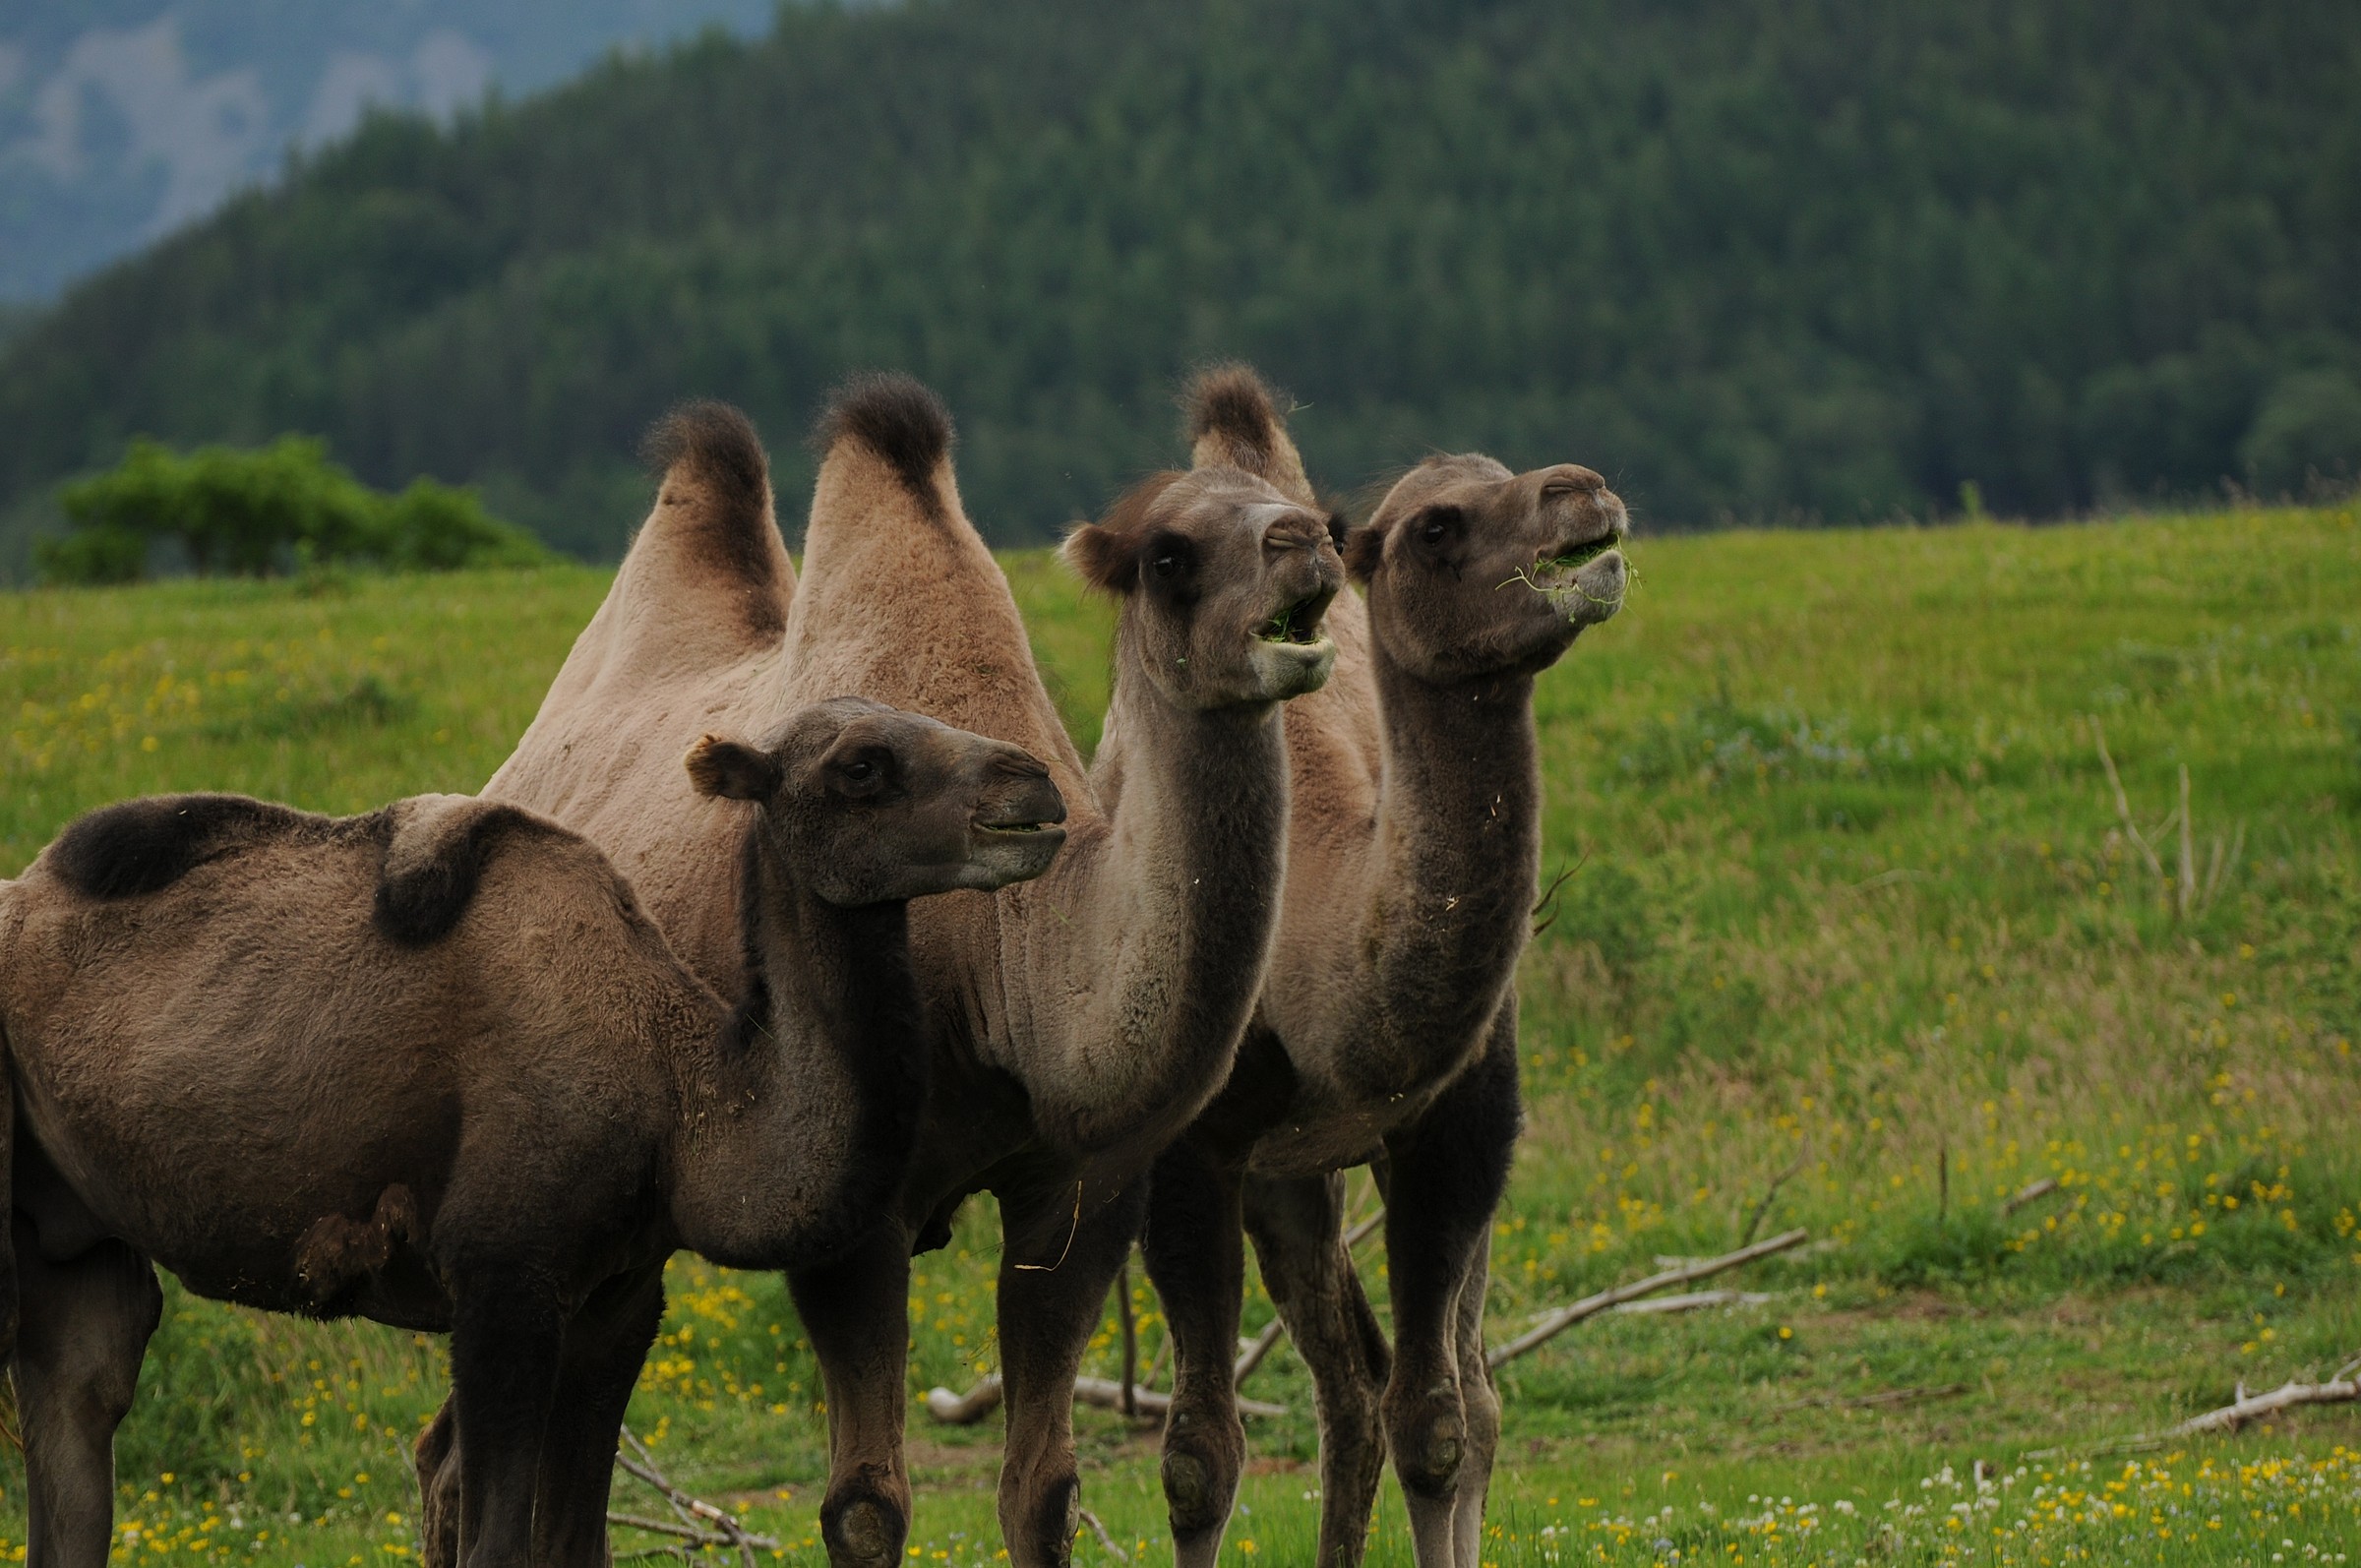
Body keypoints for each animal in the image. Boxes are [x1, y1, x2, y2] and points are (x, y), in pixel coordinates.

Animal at [0, 696, 1065, 1568]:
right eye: (862, 765)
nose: (1038, 787)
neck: (677, 1094)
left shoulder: (617, 1302)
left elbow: (575, 1543)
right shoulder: (503, 1279)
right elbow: (500, 1543)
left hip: (77, 1250)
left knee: (80, 1418)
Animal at [415, 378, 1344, 1568]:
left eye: (1293, 506)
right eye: (1170, 553)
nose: (1308, 542)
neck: (1007, 969)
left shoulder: (1072, 1196)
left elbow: (1042, 1485)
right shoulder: (853, 1220)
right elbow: (864, 1505)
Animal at [1137, 367, 1629, 1568]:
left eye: (1505, 471)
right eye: (1438, 526)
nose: (1581, 486)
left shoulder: (1457, 1132)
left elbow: (1442, 1424)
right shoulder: (1193, 1153)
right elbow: (1196, 1458)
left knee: (1425, 1389)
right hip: (1286, 1177)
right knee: (1346, 1383)